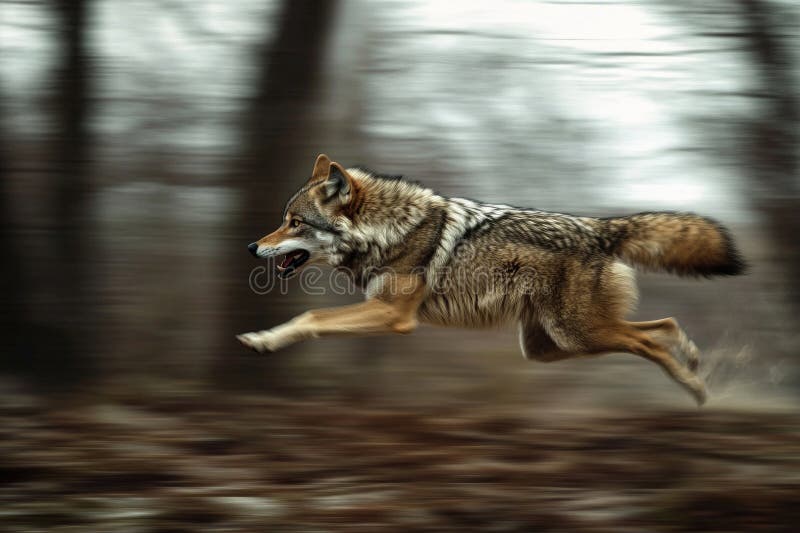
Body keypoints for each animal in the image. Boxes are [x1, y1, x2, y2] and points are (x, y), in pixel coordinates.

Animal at [237, 154, 745, 405]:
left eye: (293, 223)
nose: (251, 248)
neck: (387, 229)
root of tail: (601, 228)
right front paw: (261, 337)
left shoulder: (392, 315)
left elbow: (312, 315)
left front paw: (263, 339)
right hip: (549, 345)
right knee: (662, 326)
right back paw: (694, 364)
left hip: (575, 333)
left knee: (649, 341)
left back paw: (695, 387)